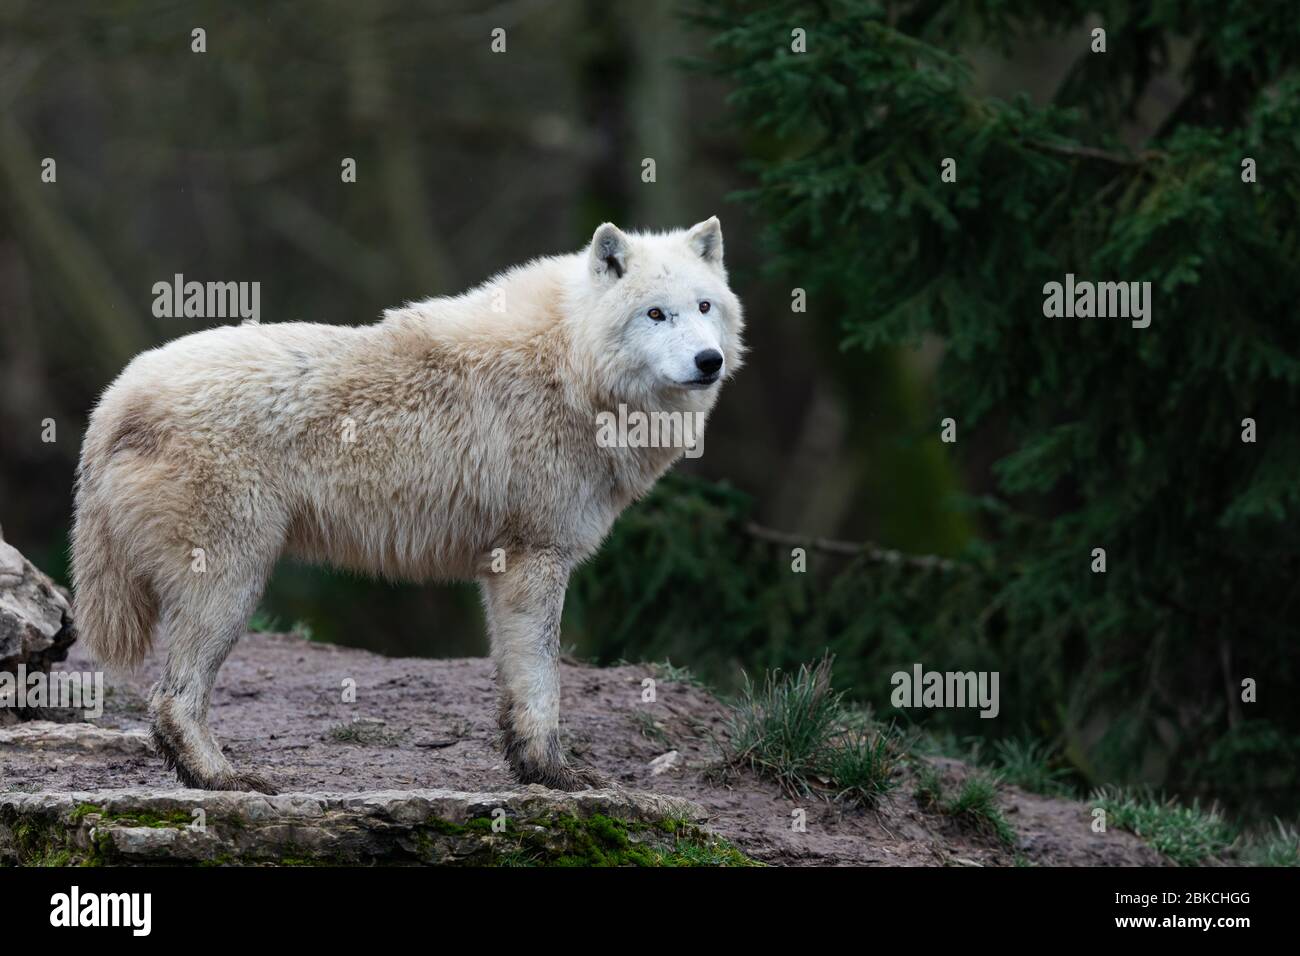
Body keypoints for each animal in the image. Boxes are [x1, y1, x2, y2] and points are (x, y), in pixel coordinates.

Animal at [71, 218, 744, 793]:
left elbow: (518, 686)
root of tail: (114, 397)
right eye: (655, 314)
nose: (708, 361)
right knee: (172, 699)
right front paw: (557, 776)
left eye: (704, 307)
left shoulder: (503, 568)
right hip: (232, 584)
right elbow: (546, 684)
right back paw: (224, 780)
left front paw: (529, 769)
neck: (571, 367)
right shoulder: (538, 558)